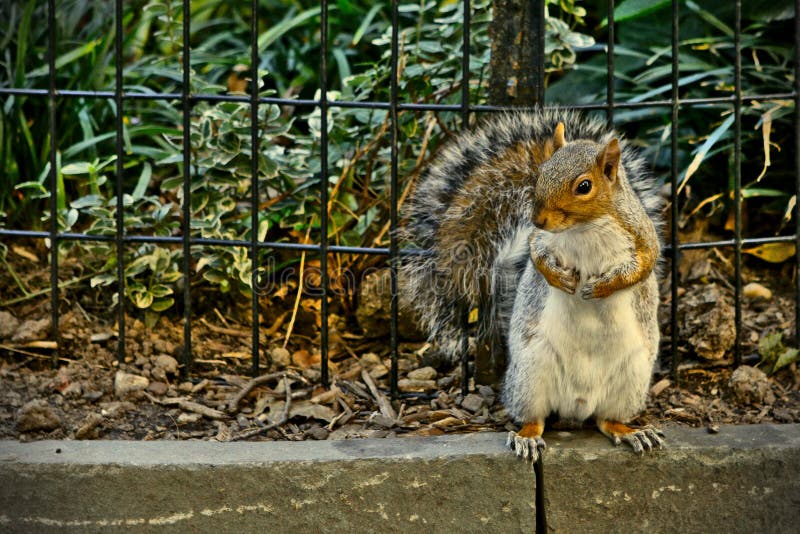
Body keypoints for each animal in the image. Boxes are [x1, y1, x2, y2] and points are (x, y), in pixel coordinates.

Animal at [401, 108, 665, 459]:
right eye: (540, 174)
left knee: (606, 420)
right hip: (531, 373)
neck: (585, 227)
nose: (538, 218)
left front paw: (602, 287)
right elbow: (537, 258)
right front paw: (560, 279)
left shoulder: (641, 235)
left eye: (584, 186)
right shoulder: (540, 239)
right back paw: (526, 436)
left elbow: (644, 266)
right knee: (535, 418)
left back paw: (630, 431)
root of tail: (577, 406)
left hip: (631, 380)